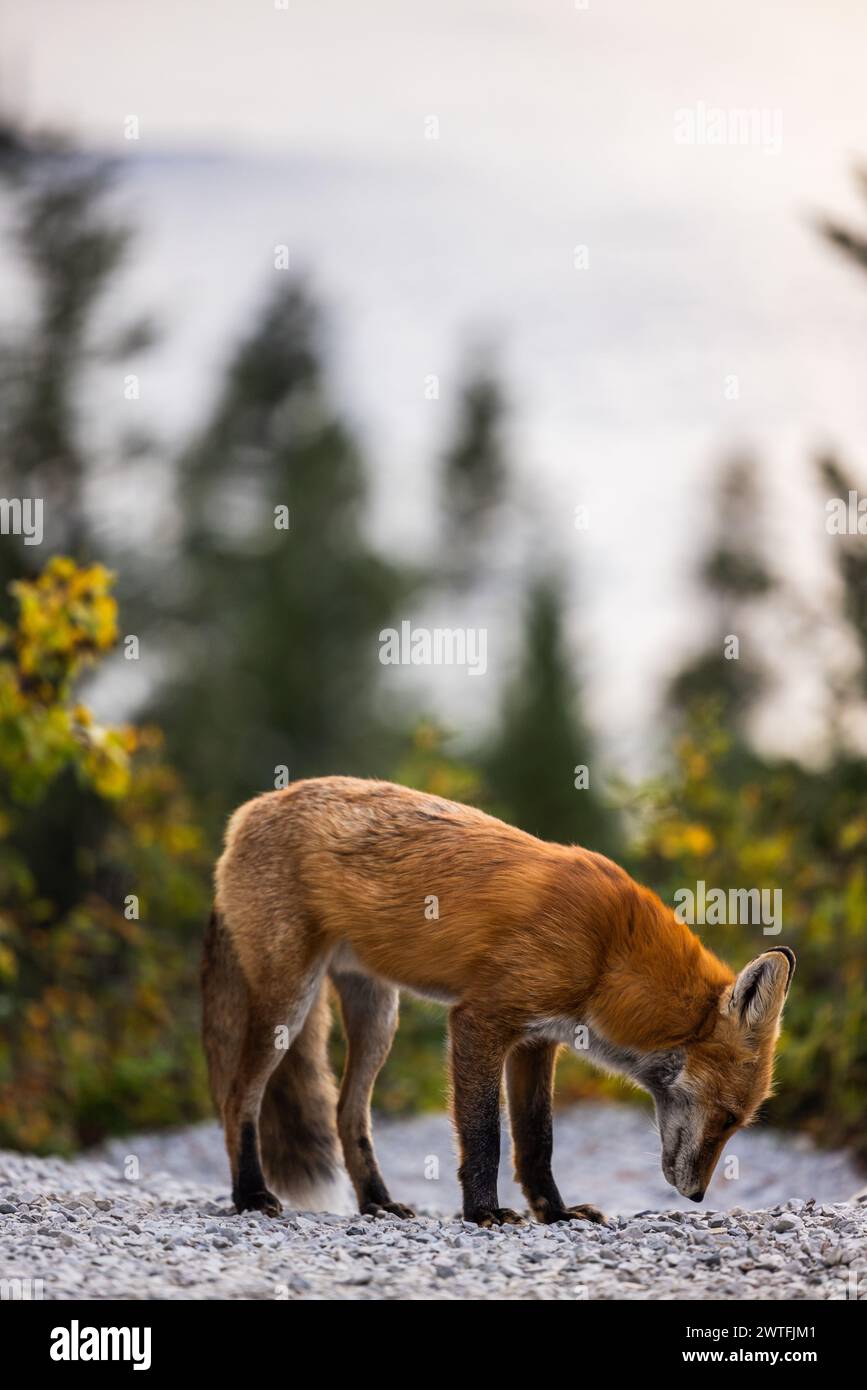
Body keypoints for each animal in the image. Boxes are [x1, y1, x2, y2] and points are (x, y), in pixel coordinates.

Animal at [202, 776, 795, 1227]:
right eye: (726, 1118)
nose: (697, 1196)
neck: (609, 955)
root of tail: (247, 811)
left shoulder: (538, 1041)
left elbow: (537, 1139)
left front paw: (554, 1213)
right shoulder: (480, 1020)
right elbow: (485, 1133)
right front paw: (483, 1212)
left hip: (378, 1017)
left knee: (348, 1114)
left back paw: (377, 1202)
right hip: (290, 1001)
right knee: (237, 1098)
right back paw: (250, 1195)